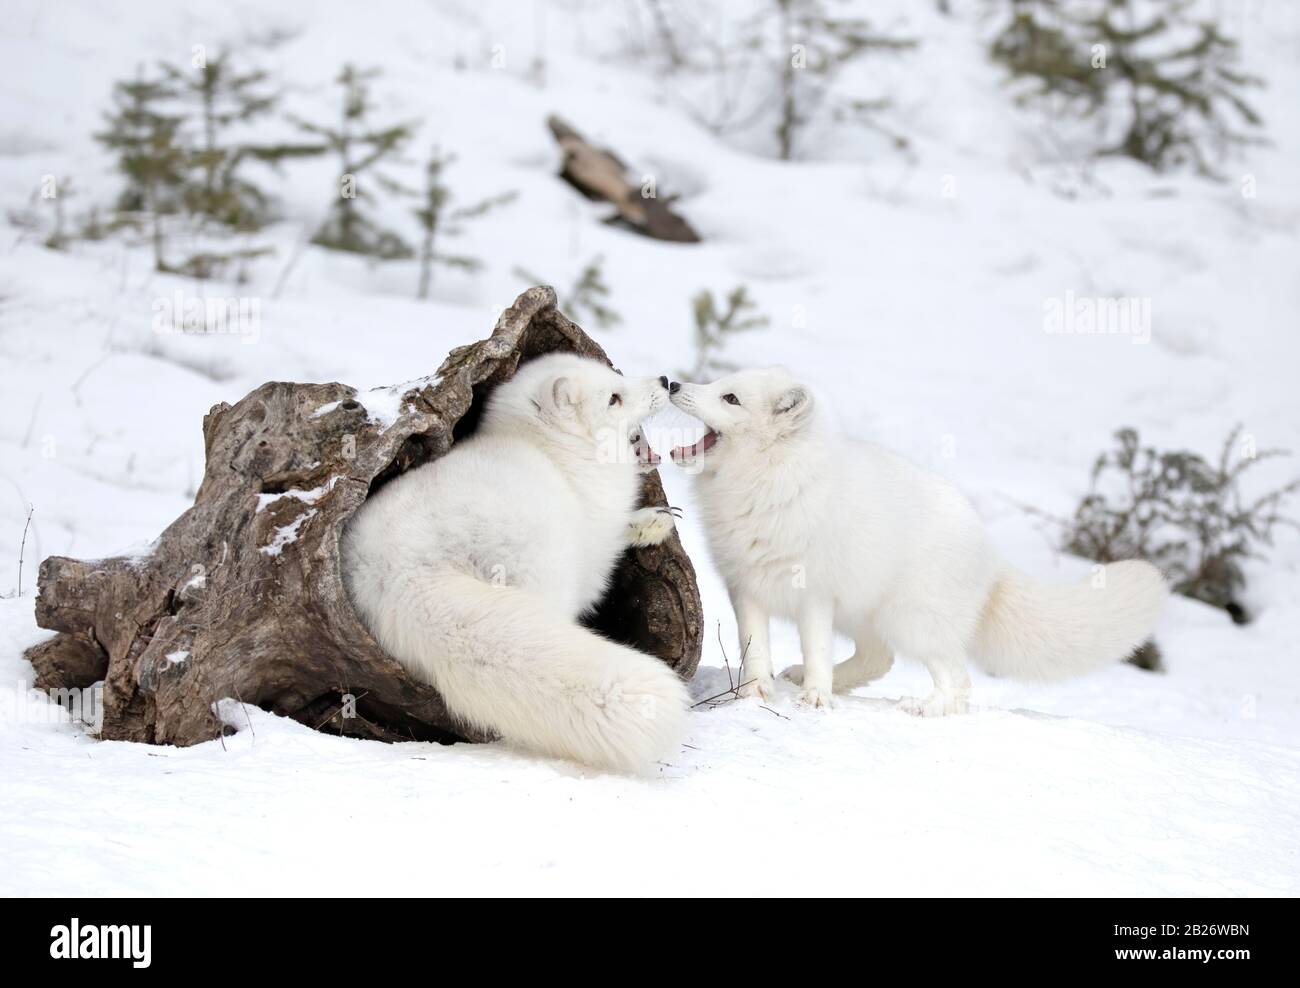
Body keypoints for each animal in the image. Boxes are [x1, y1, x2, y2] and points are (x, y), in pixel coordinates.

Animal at [341, 353, 688, 771]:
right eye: (614, 398)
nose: (665, 380)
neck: (554, 454)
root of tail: (399, 569)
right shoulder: (593, 547)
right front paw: (646, 524)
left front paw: (651, 520)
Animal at [668, 367, 1169, 715]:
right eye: (719, 383)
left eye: (730, 398)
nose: (672, 384)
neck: (769, 482)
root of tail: (991, 553)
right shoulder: (745, 585)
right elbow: (754, 648)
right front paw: (755, 692)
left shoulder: (817, 593)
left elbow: (817, 649)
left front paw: (816, 699)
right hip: (870, 615)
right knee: (880, 660)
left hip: (913, 620)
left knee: (957, 681)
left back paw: (925, 708)